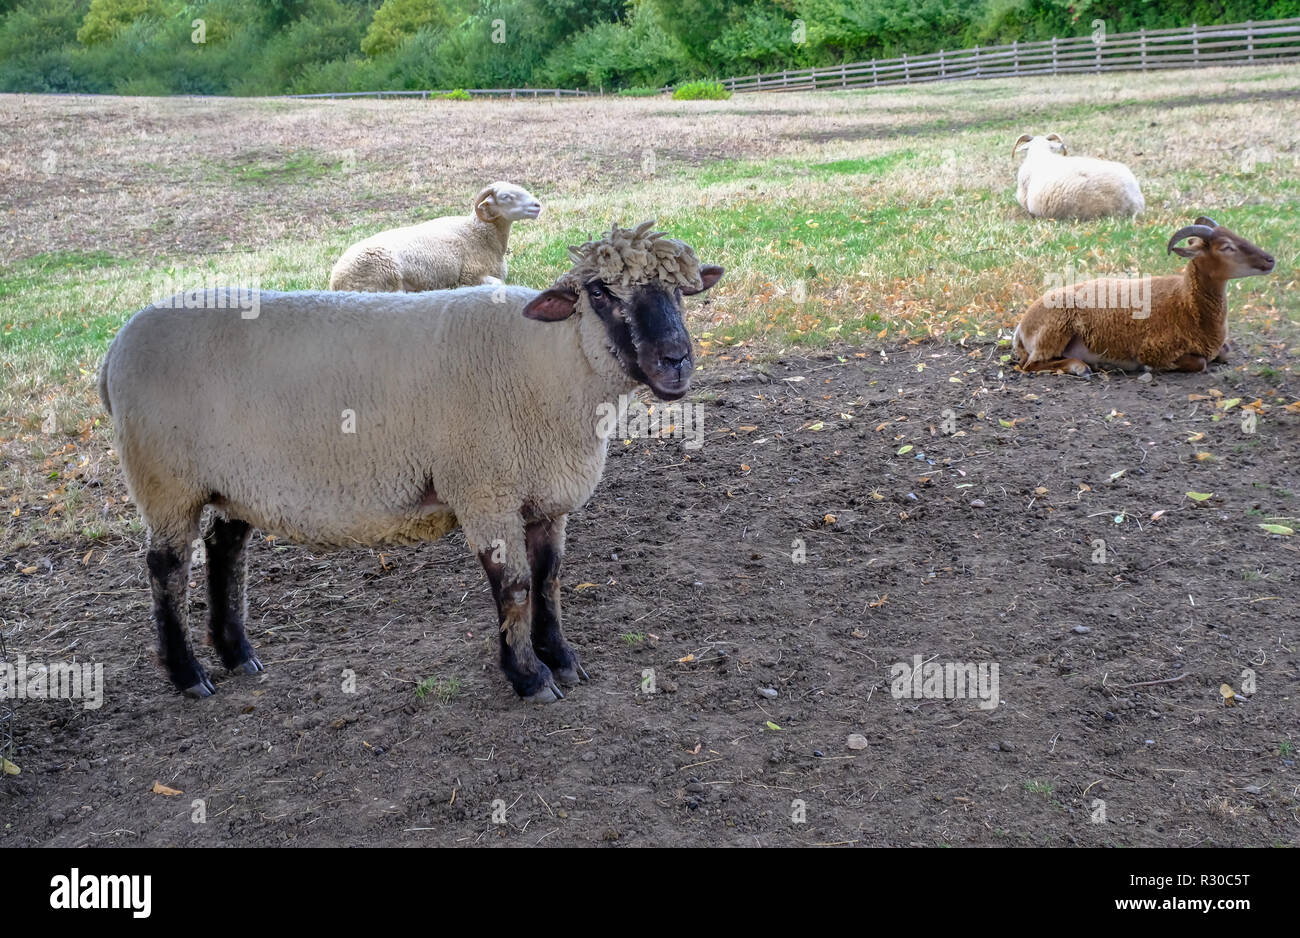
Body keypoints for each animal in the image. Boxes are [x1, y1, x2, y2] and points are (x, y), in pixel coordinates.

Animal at [100, 221, 724, 704]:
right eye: (598, 292)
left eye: (683, 293)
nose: (676, 361)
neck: (548, 362)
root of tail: (115, 349)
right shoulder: (484, 489)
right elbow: (515, 586)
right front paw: (528, 677)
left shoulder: (546, 496)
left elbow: (548, 581)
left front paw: (562, 659)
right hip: (165, 480)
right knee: (166, 568)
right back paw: (188, 675)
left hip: (237, 479)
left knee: (224, 550)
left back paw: (237, 654)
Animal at [328, 181, 542, 292]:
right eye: (506, 197)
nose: (537, 205)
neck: (478, 234)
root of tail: (335, 281)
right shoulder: (470, 276)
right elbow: (500, 283)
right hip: (383, 277)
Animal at [1013, 217, 1275, 376]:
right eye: (1226, 247)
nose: (1270, 259)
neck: (1185, 302)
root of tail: (1021, 328)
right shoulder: (1154, 349)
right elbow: (1199, 363)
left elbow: (1226, 352)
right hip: (1055, 329)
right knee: (1030, 365)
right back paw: (1080, 367)